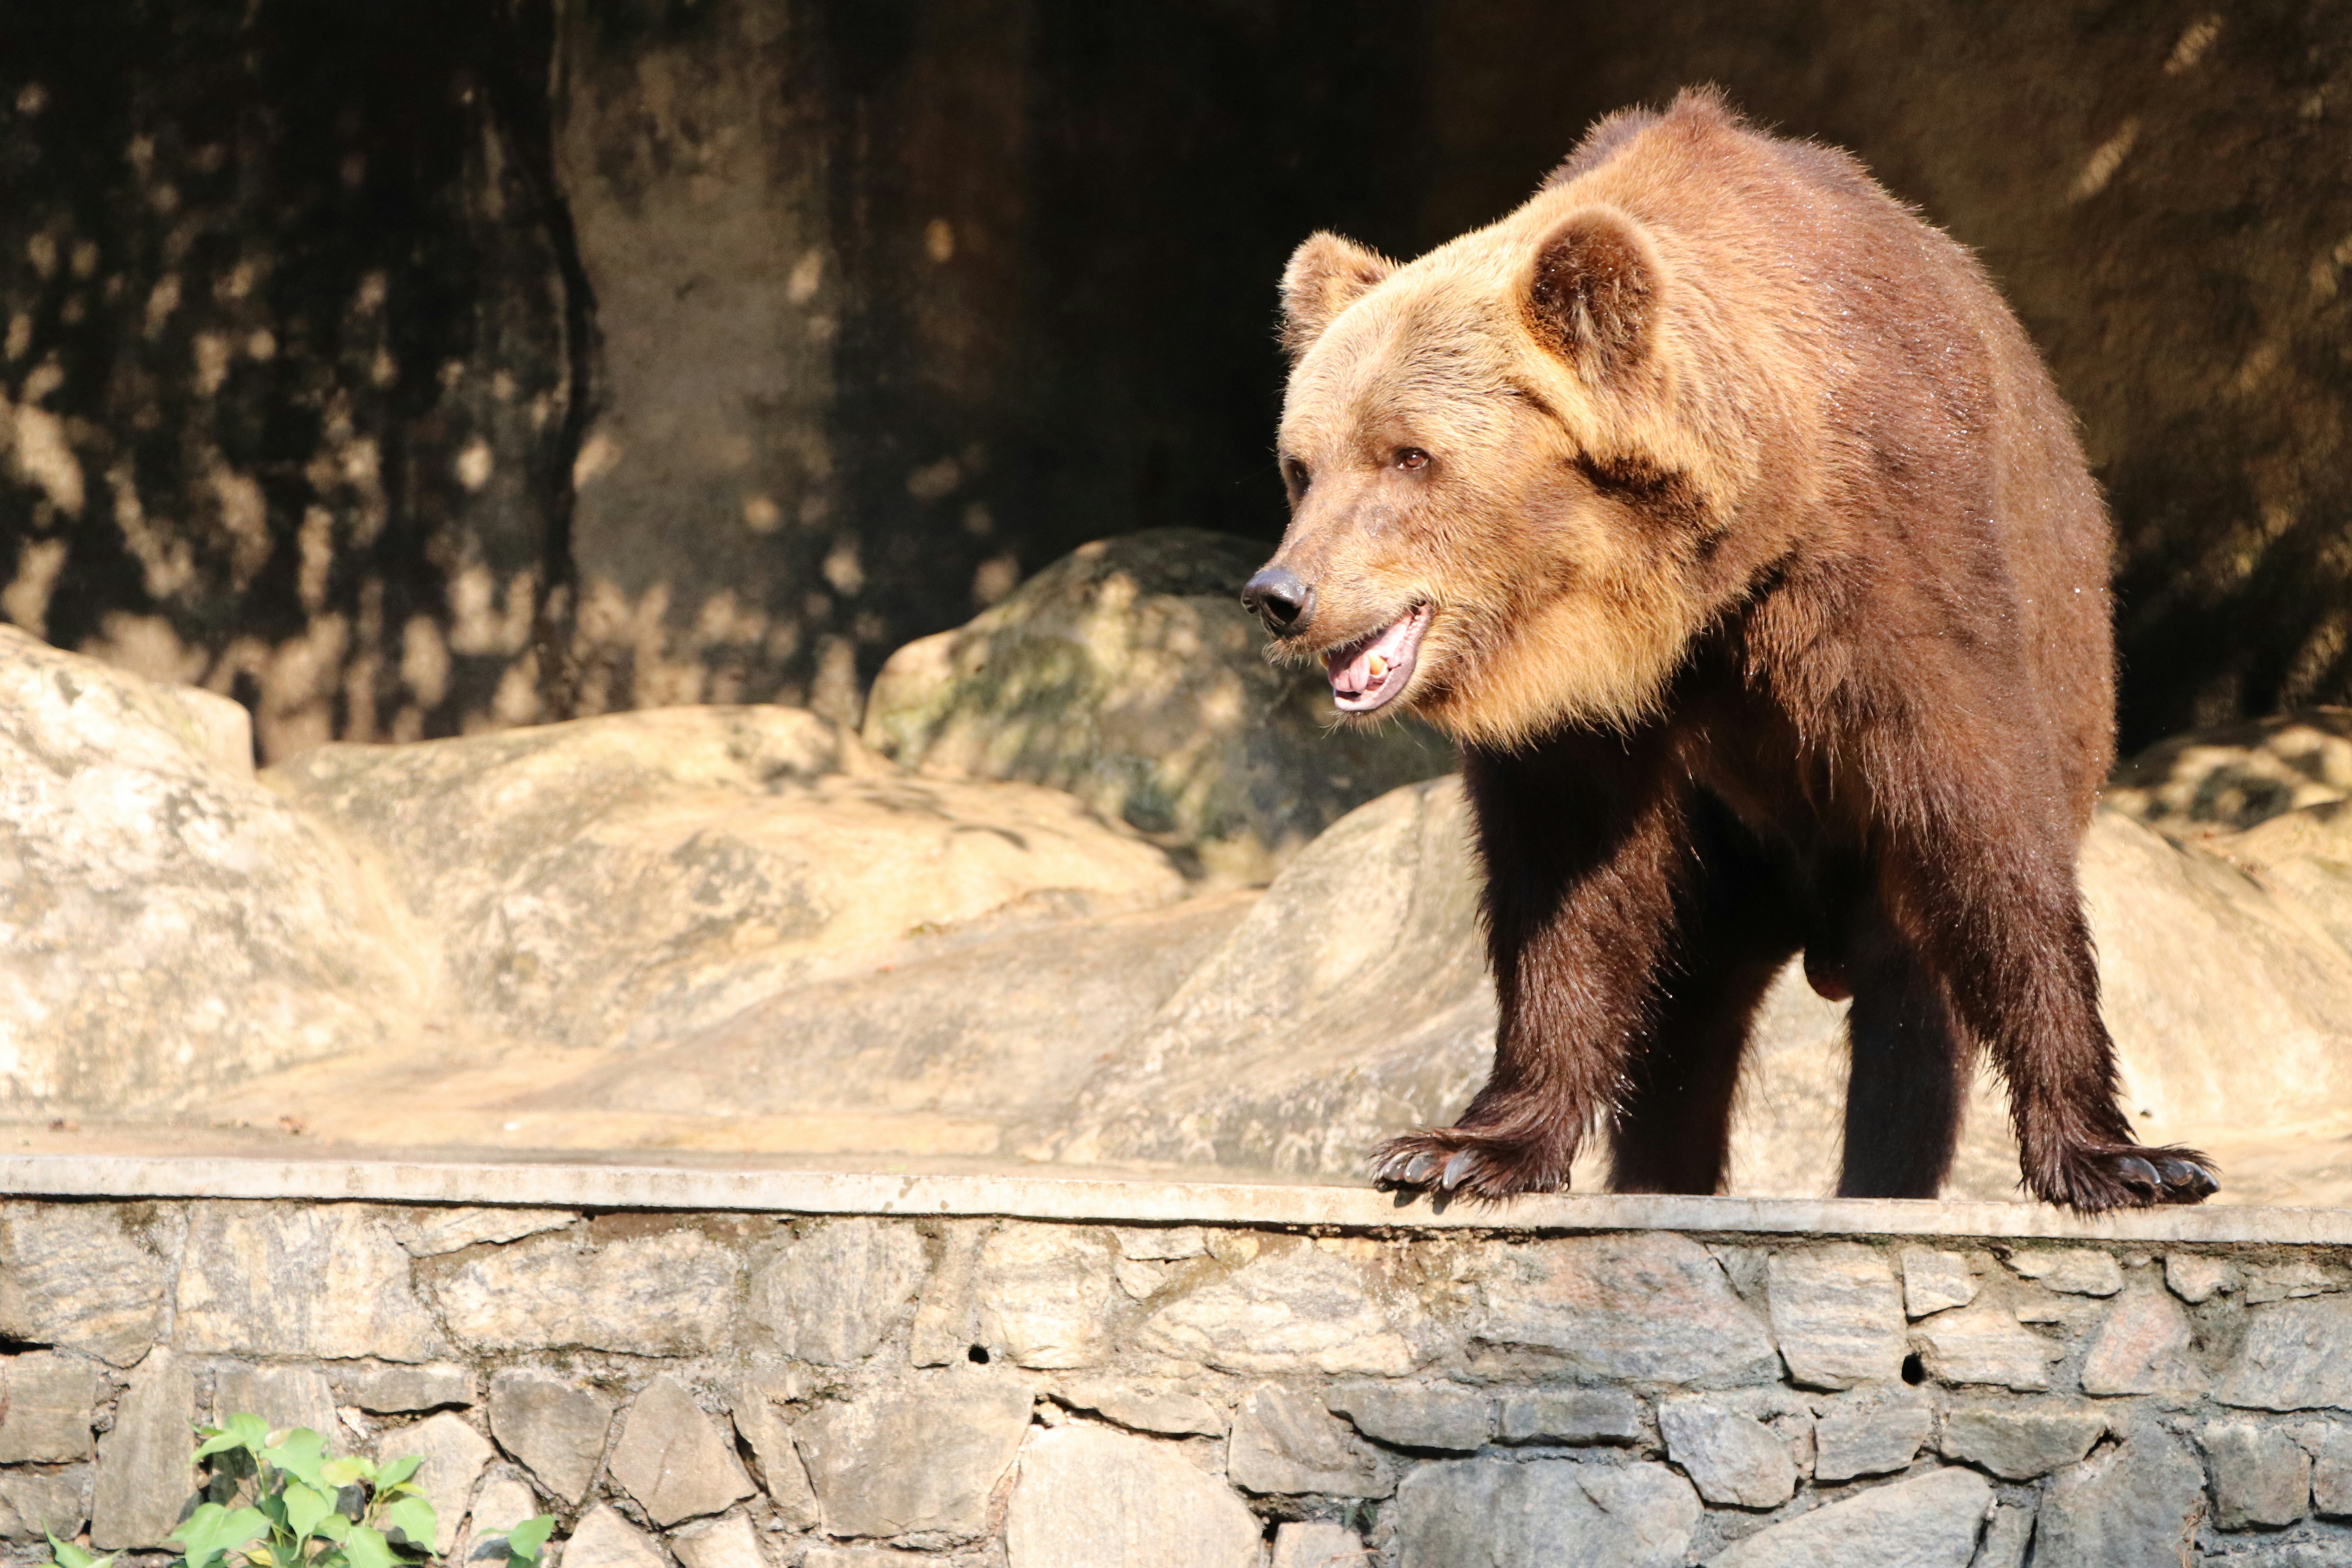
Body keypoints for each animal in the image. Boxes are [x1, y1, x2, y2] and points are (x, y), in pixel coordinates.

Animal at [1240, 87, 2218, 1212]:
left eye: (1409, 456)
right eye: (1302, 466)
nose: (1282, 595)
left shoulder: (1889, 553)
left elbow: (1980, 815)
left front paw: (2121, 1155)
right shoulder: (1594, 712)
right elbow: (1570, 887)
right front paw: (1464, 1146)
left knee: (1909, 1000)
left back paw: (1880, 1178)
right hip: (1729, 856)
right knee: (1689, 1012)